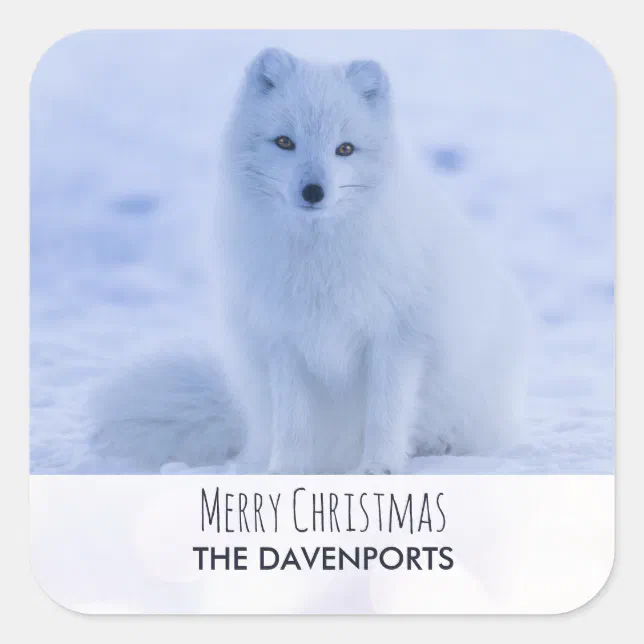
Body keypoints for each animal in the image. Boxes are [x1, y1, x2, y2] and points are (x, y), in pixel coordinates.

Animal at [90, 48, 530, 474]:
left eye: (345, 148)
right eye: (285, 142)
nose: (313, 191)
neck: (318, 260)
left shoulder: (396, 338)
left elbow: (385, 414)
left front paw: (379, 468)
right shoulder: (284, 340)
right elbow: (293, 421)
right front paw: (287, 471)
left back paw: (437, 446)